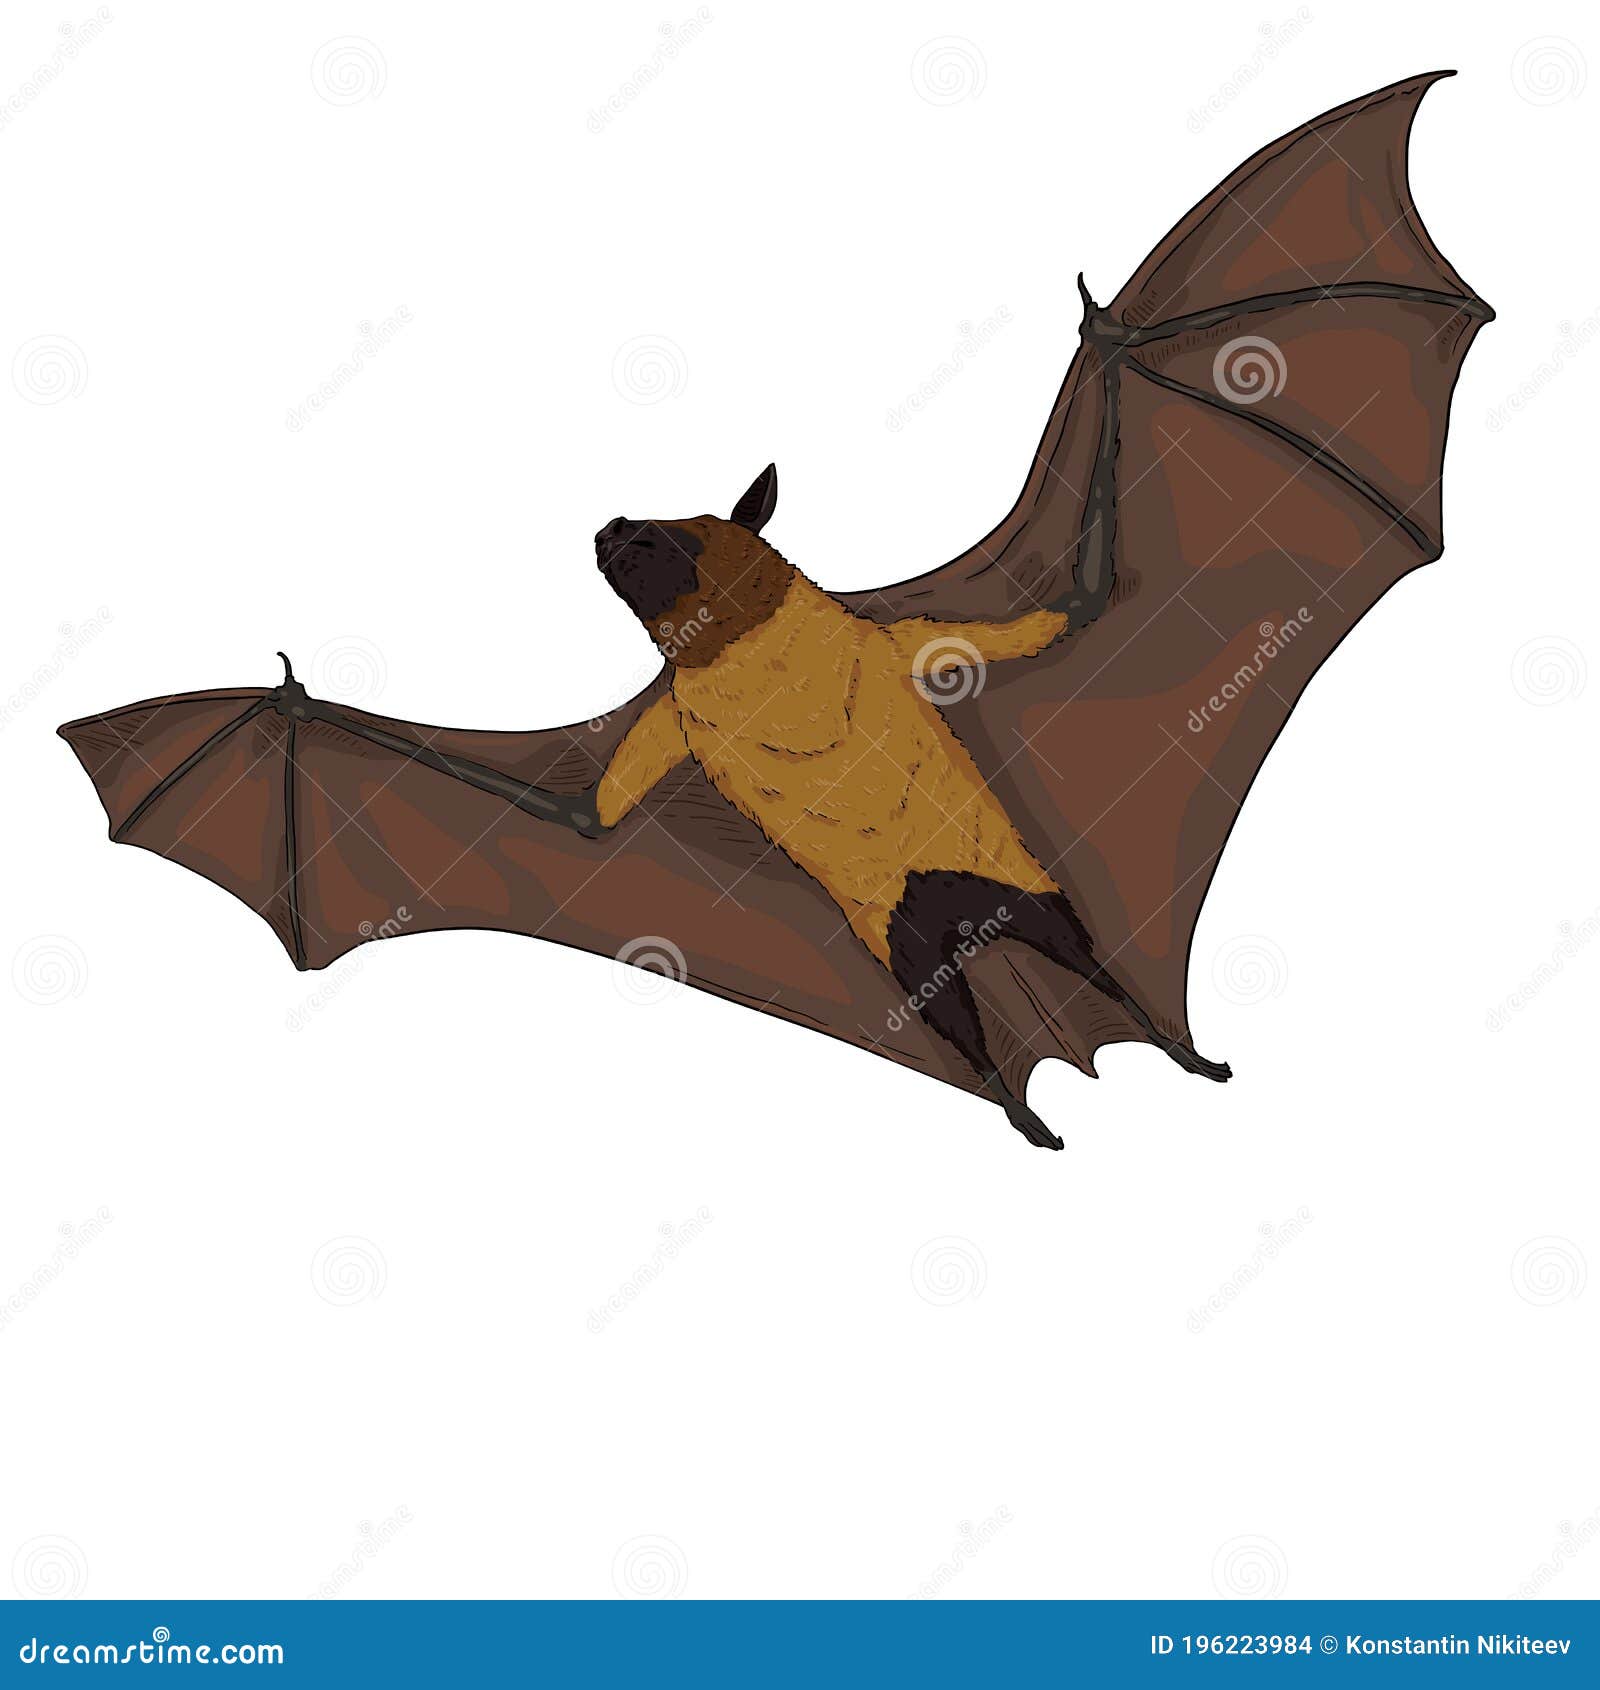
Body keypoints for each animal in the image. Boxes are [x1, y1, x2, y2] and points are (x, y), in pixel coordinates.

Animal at [550, 465, 1229, 1147]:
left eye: (681, 530)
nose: (611, 529)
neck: (754, 654)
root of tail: (964, 925)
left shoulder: (892, 640)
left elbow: (1076, 607)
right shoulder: (685, 719)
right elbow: (593, 818)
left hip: (1017, 882)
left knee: (1080, 957)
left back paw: (1181, 1059)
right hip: (904, 943)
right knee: (970, 1016)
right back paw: (1036, 1120)